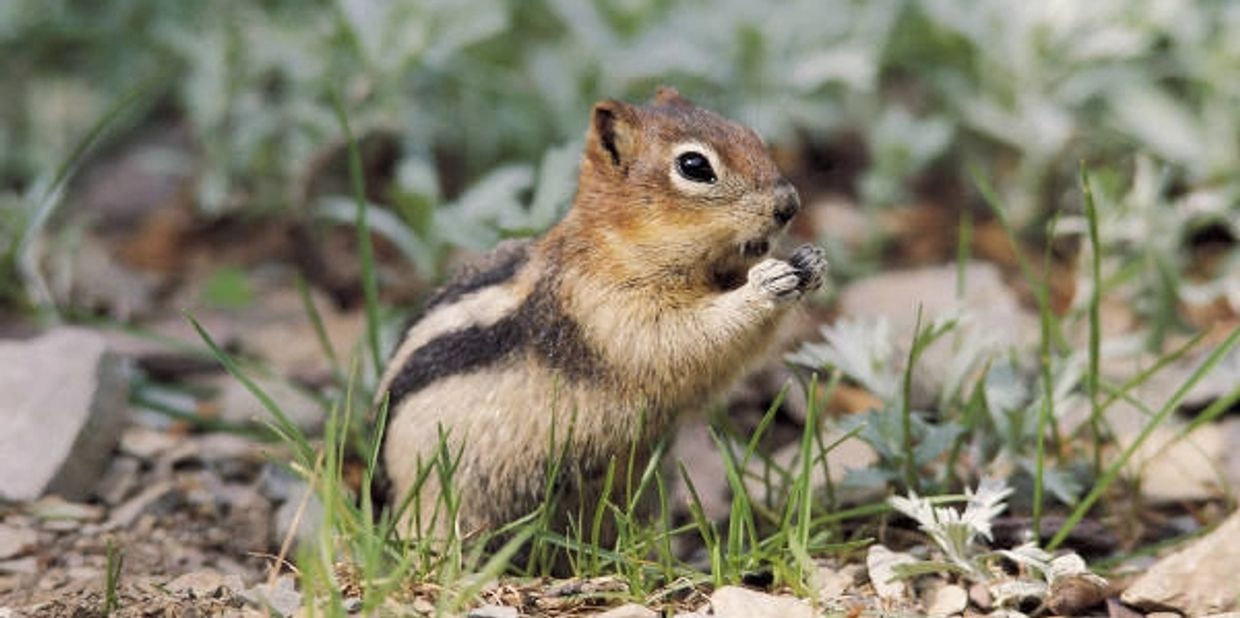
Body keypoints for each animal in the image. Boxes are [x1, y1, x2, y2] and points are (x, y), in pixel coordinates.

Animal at [372, 85, 828, 541]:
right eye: (694, 166)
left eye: (750, 134)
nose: (790, 204)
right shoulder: (606, 306)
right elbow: (681, 339)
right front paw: (764, 284)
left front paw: (810, 262)